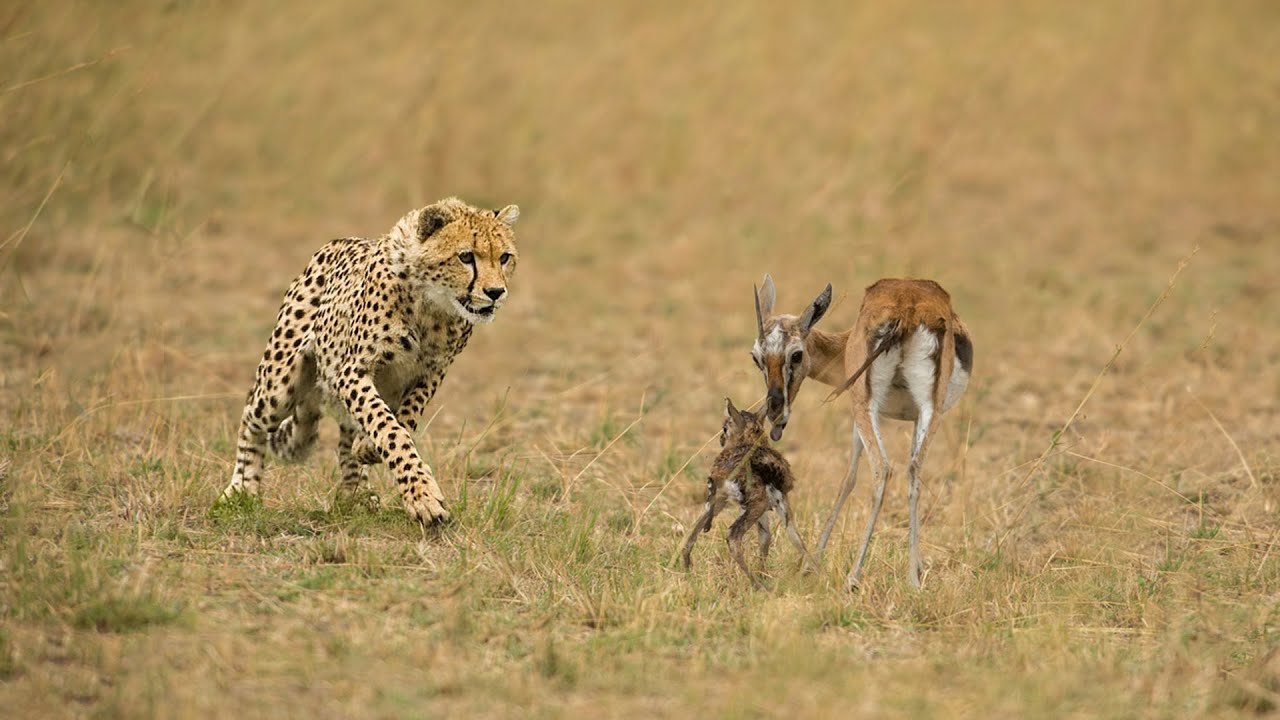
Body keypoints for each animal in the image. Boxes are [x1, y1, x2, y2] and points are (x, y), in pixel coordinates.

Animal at [221, 196, 521, 525]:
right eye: (465, 257)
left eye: (504, 257)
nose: (495, 292)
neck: (432, 305)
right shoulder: (353, 372)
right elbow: (388, 428)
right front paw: (423, 497)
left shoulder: (431, 374)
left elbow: (404, 419)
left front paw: (368, 448)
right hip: (279, 383)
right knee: (251, 416)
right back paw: (241, 487)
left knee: (342, 434)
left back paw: (356, 493)